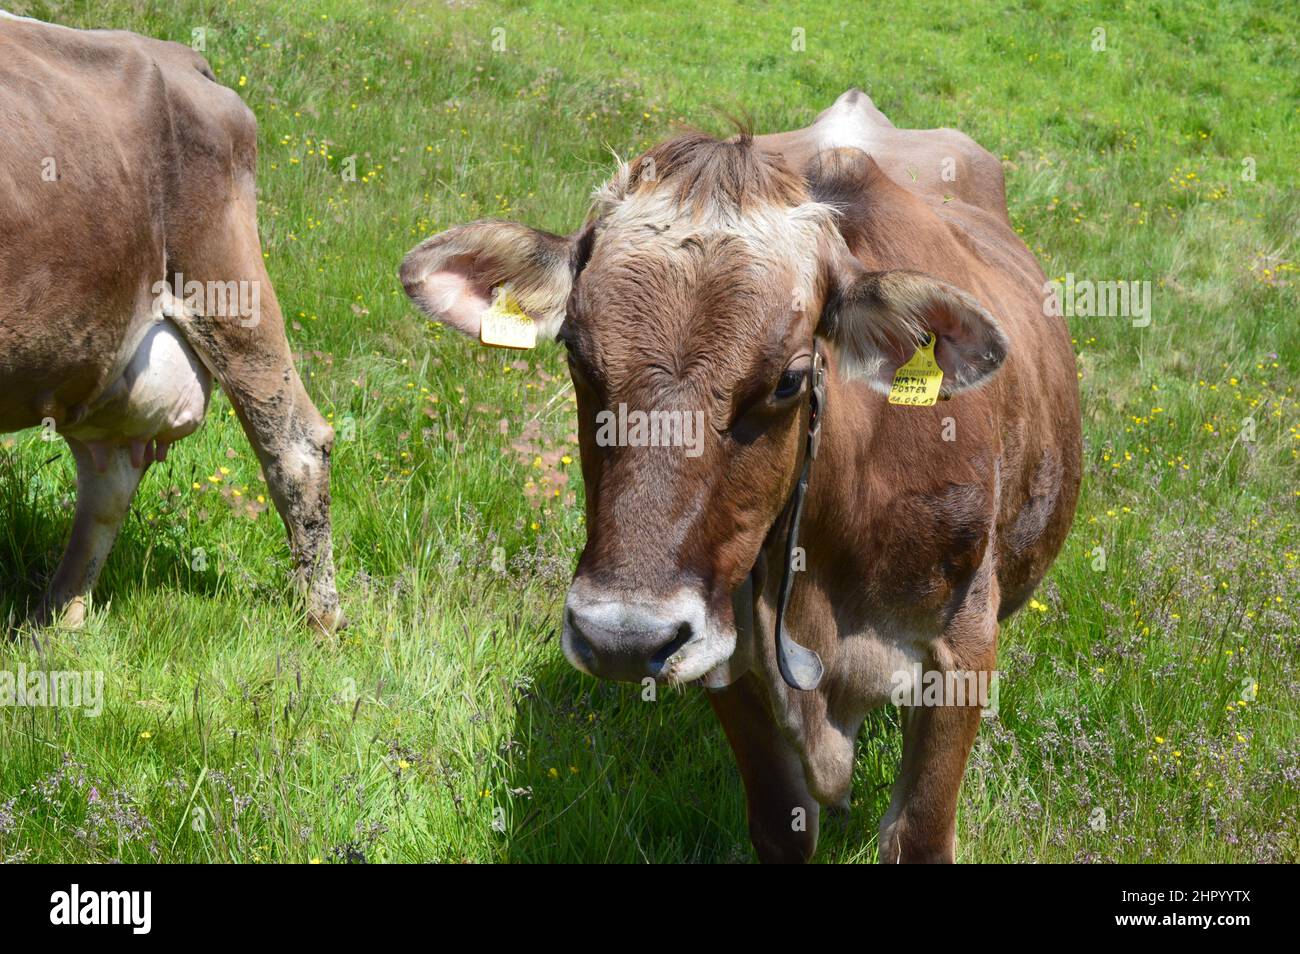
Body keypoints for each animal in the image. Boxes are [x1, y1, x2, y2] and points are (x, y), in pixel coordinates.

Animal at [0, 13, 342, 633]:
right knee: (109, 479)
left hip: (228, 286)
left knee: (295, 445)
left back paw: (323, 621)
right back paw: (55, 620)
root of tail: (183, 58)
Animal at [401, 88, 1081, 862]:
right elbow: (781, 823)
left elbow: (918, 833)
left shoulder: (961, 643)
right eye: (574, 351)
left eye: (790, 379)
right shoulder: (727, 649)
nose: (622, 638)